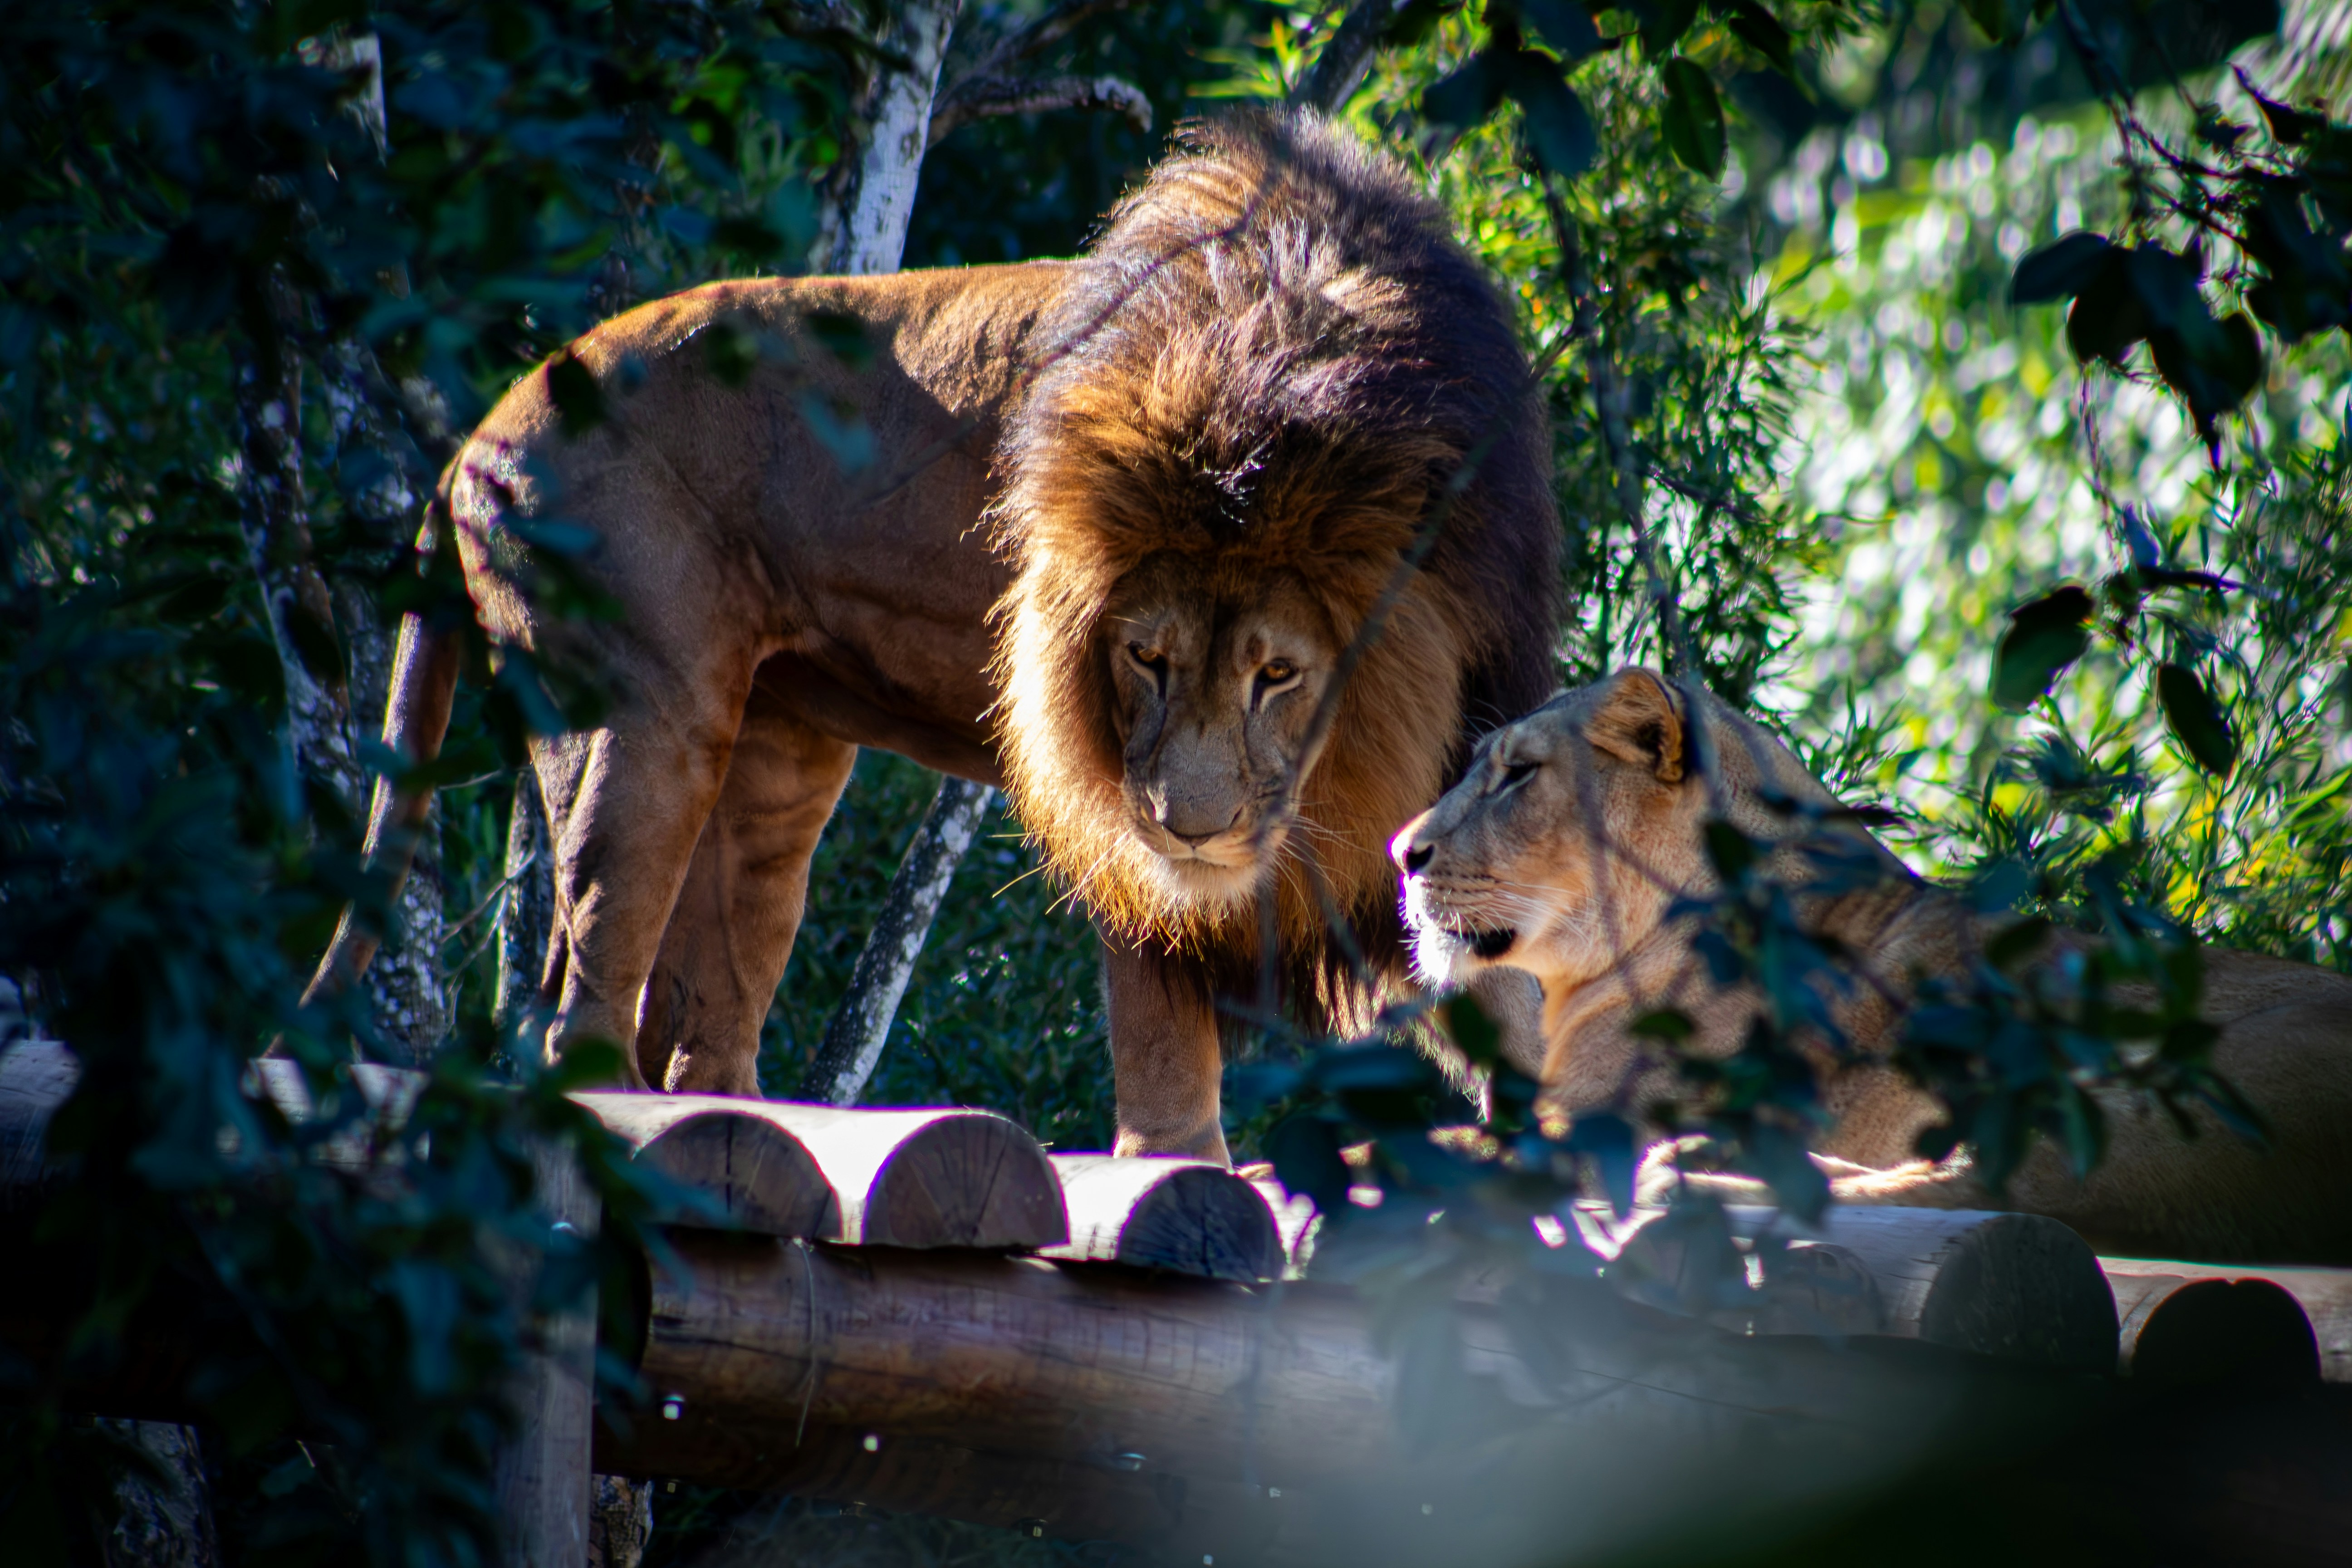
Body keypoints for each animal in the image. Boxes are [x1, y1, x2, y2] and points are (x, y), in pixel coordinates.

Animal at [304, 110, 1561, 1160]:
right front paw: (1184, 1174)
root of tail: (477, 433)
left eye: (1279, 674)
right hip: (637, 722)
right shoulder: (1110, 791)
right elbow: (1162, 1029)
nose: (1191, 831)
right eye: (1143, 658)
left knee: (702, 1015)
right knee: (582, 998)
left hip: (775, 755)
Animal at [1391, 669, 2352, 1262]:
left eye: (1518, 773)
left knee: (2016, 1195)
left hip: (2172, 1081)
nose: (1401, 853)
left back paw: (1684, 1176)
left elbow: (1439, 1145)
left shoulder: (1581, 1124)